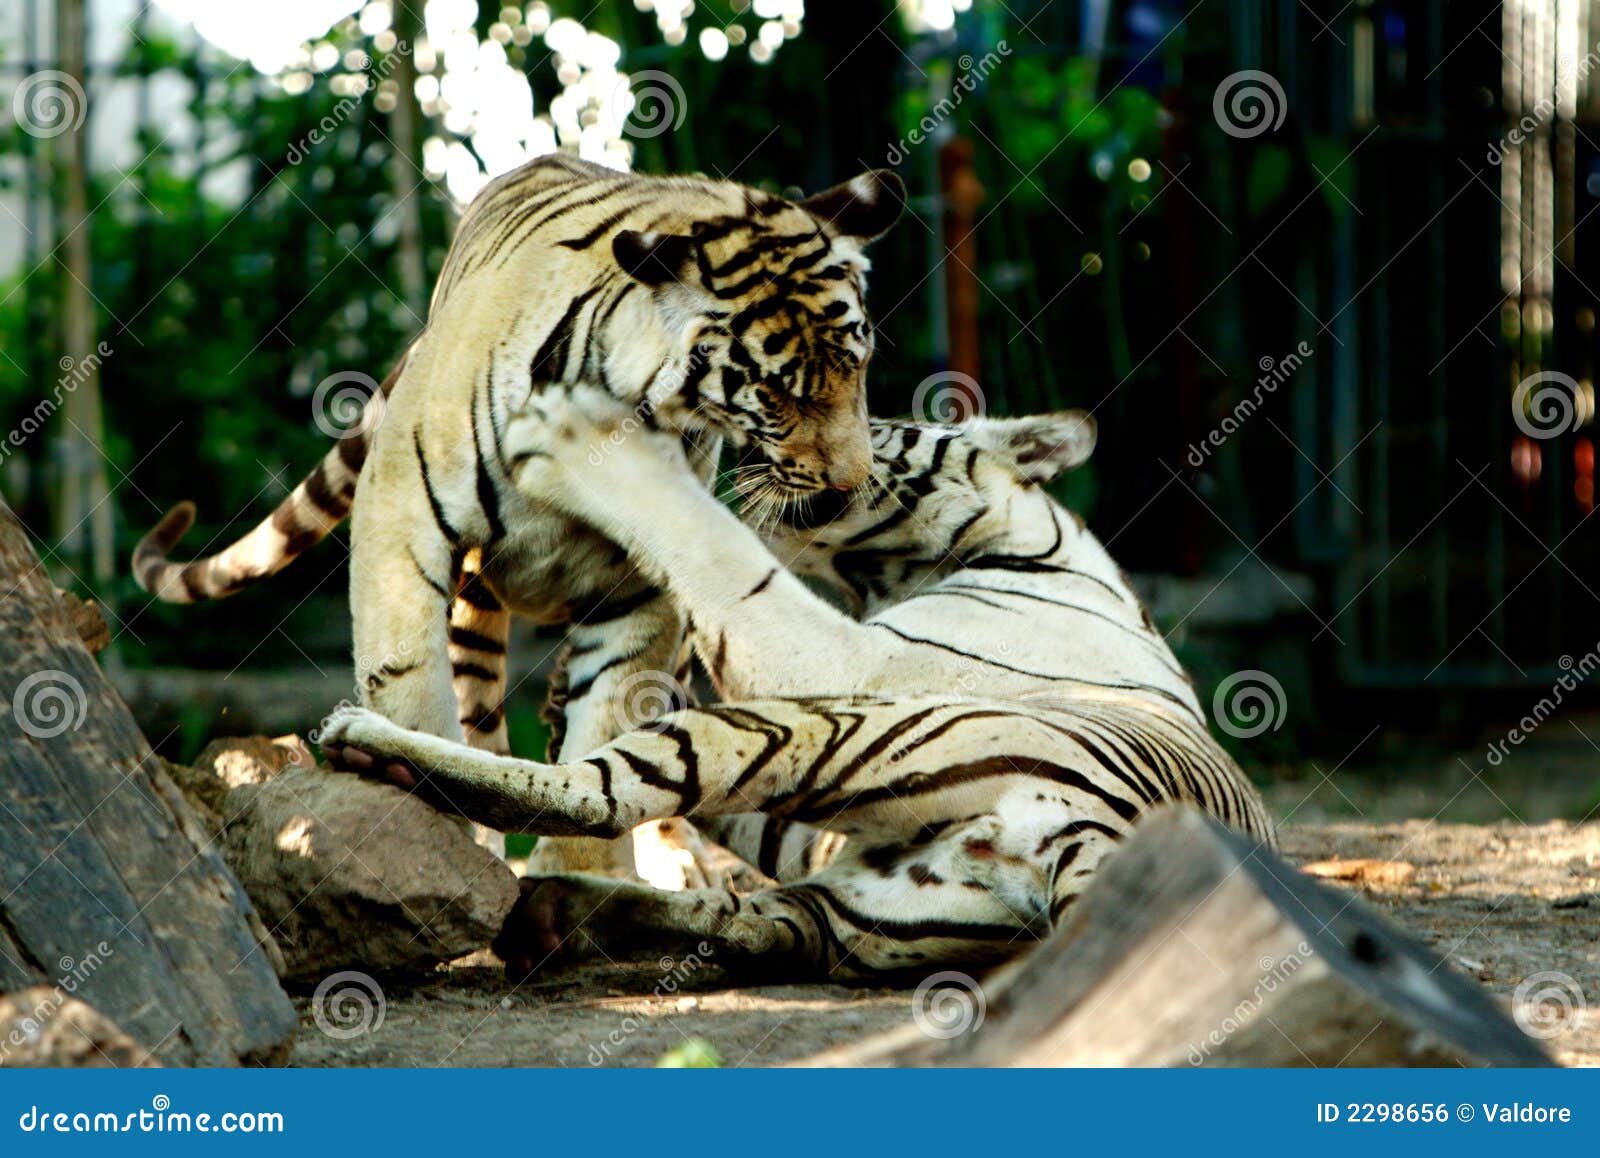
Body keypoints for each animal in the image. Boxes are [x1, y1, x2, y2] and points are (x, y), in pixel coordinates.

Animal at [131, 154, 905, 881]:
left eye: (860, 365)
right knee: (480, 711)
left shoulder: (639, 587)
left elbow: (609, 723)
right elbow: (410, 682)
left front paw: (584, 877)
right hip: (476, 602)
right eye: (778, 393)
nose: (846, 489)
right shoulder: (402, 508)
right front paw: (415, 801)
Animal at [318, 386, 1276, 980]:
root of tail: (1098, 849)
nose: (755, 447)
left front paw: (577, 436)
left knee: (595, 794)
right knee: (748, 920)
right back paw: (557, 913)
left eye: (875, 420)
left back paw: (381, 750)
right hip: (846, 911)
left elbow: (716, 552)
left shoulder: (852, 667)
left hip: (836, 729)